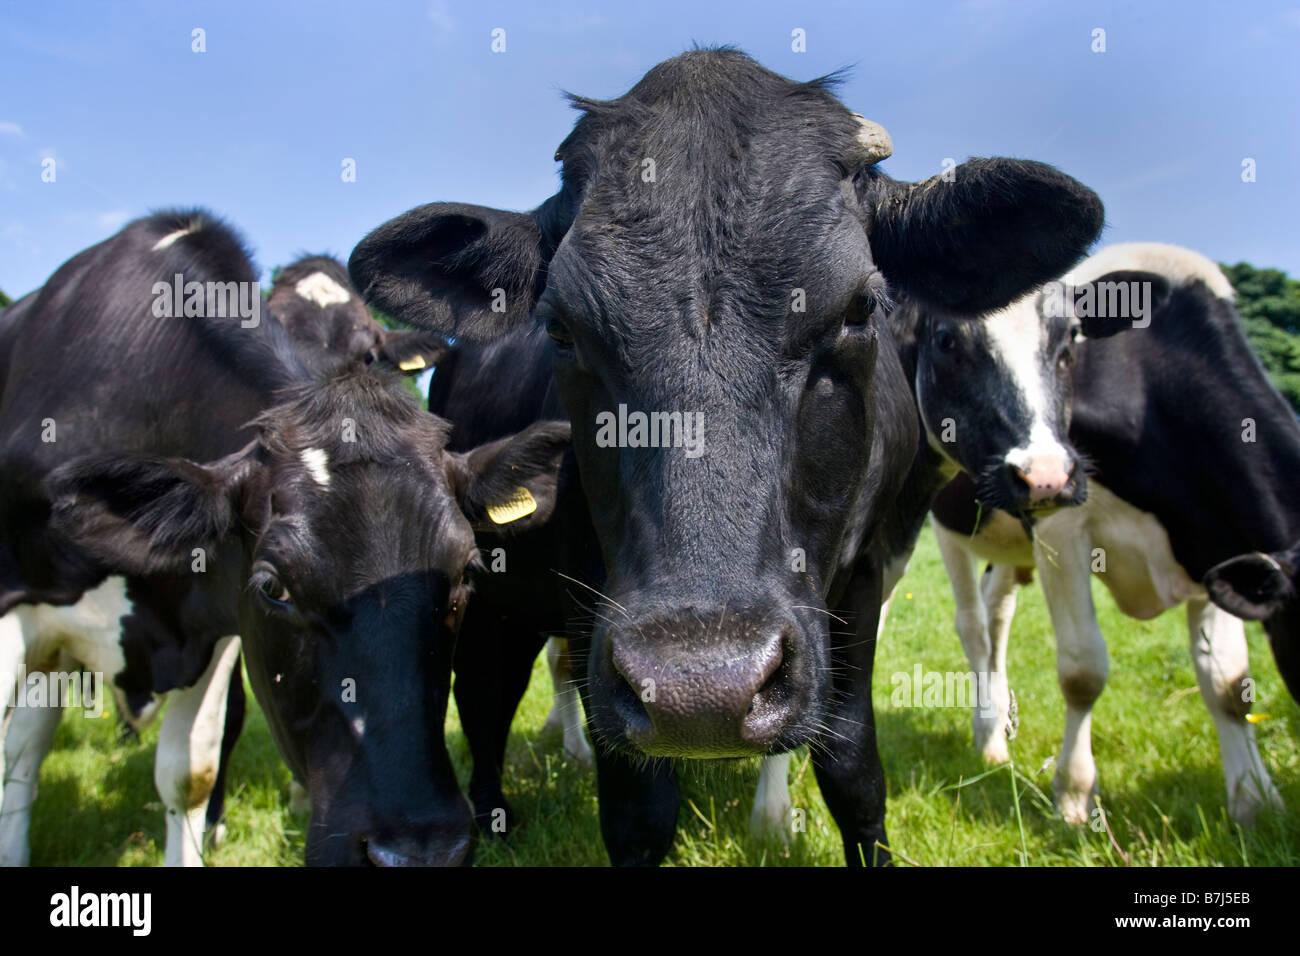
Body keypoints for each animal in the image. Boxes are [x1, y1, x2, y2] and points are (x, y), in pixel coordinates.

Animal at [348, 48, 1104, 865]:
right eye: (560, 328)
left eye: (859, 308)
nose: (703, 690)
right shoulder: (592, 601)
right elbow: (638, 808)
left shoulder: (862, 578)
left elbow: (852, 767)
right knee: (488, 692)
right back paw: (495, 808)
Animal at [928, 242, 1294, 825]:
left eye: (1073, 339)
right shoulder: (1062, 528)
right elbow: (1083, 671)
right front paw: (1075, 797)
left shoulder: (1215, 547)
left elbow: (1228, 683)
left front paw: (1254, 799)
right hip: (950, 526)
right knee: (973, 625)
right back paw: (988, 737)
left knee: (998, 611)